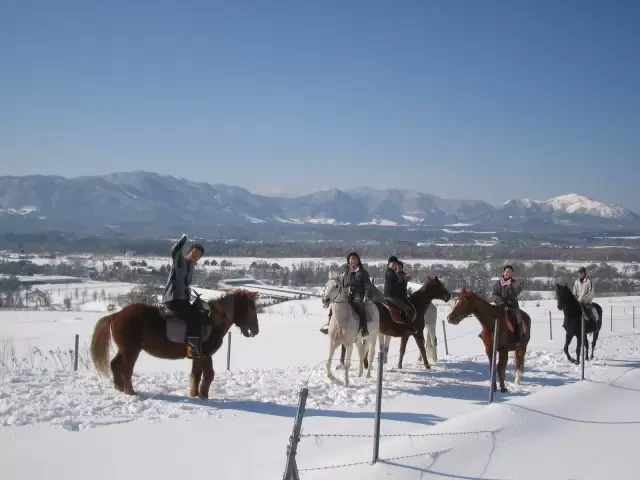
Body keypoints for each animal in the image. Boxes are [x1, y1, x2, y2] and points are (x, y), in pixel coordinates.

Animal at [90, 289, 260, 398]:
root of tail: (116, 315)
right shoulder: (206, 355)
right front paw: (204, 396)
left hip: (125, 349)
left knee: (115, 364)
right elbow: (209, 375)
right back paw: (130, 392)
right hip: (131, 350)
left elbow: (196, 375)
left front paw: (195, 395)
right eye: (251, 309)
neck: (213, 321)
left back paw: (119, 388)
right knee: (126, 370)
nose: (256, 330)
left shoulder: (198, 356)